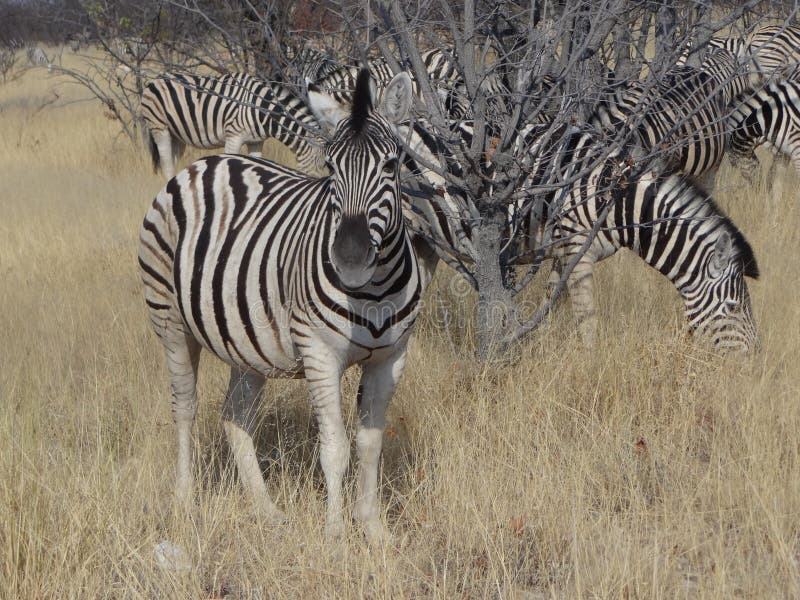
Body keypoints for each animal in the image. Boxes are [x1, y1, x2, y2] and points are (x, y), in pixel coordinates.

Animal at [140, 72, 326, 180]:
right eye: (325, 165)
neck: (263, 109)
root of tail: (155, 78)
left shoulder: (256, 141)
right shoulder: (233, 135)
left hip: (177, 136)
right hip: (159, 128)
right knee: (166, 164)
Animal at [504, 126, 759, 351]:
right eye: (733, 308)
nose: (753, 357)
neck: (619, 200)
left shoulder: (563, 251)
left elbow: (549, 302)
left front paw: (543, 343)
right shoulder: (577, 247)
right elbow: (587, 318)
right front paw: (591, 360)